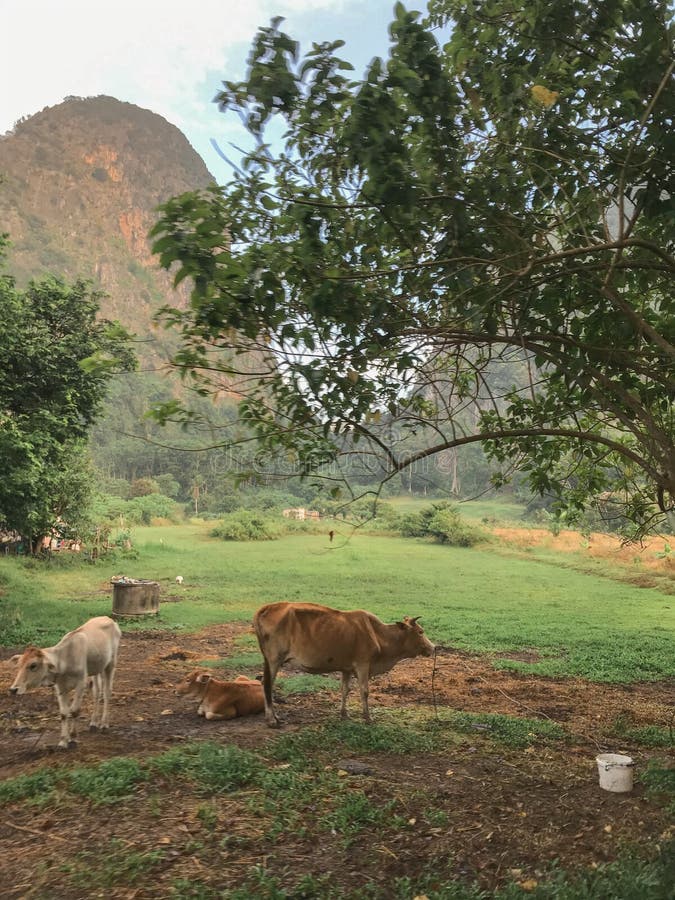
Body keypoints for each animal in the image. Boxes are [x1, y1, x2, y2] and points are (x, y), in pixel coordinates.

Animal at [9, 615, 121, 749]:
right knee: (96, 692)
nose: (13, 689)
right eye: (19, 665)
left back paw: (104, 724)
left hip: (111, 664)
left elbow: (74, 710)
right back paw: (93, 723)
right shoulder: (60, 687)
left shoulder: (81, 683)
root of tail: (109, 618)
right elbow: (63, 712)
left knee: (107, 692)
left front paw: (73, 738)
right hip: (96, 669)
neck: (65, 659)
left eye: (33, 665)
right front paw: (63, 741)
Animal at [253, 601, 435, 727]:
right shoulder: (363, 664)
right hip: (274, 659)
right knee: (267, 684)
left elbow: (345, 690)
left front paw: (344, 714)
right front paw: (367, 717)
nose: (433, 647)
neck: (378, 634)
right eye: (421, 632)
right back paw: (271, 720)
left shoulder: (346, 668)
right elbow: (364, 691)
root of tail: (267, 608)